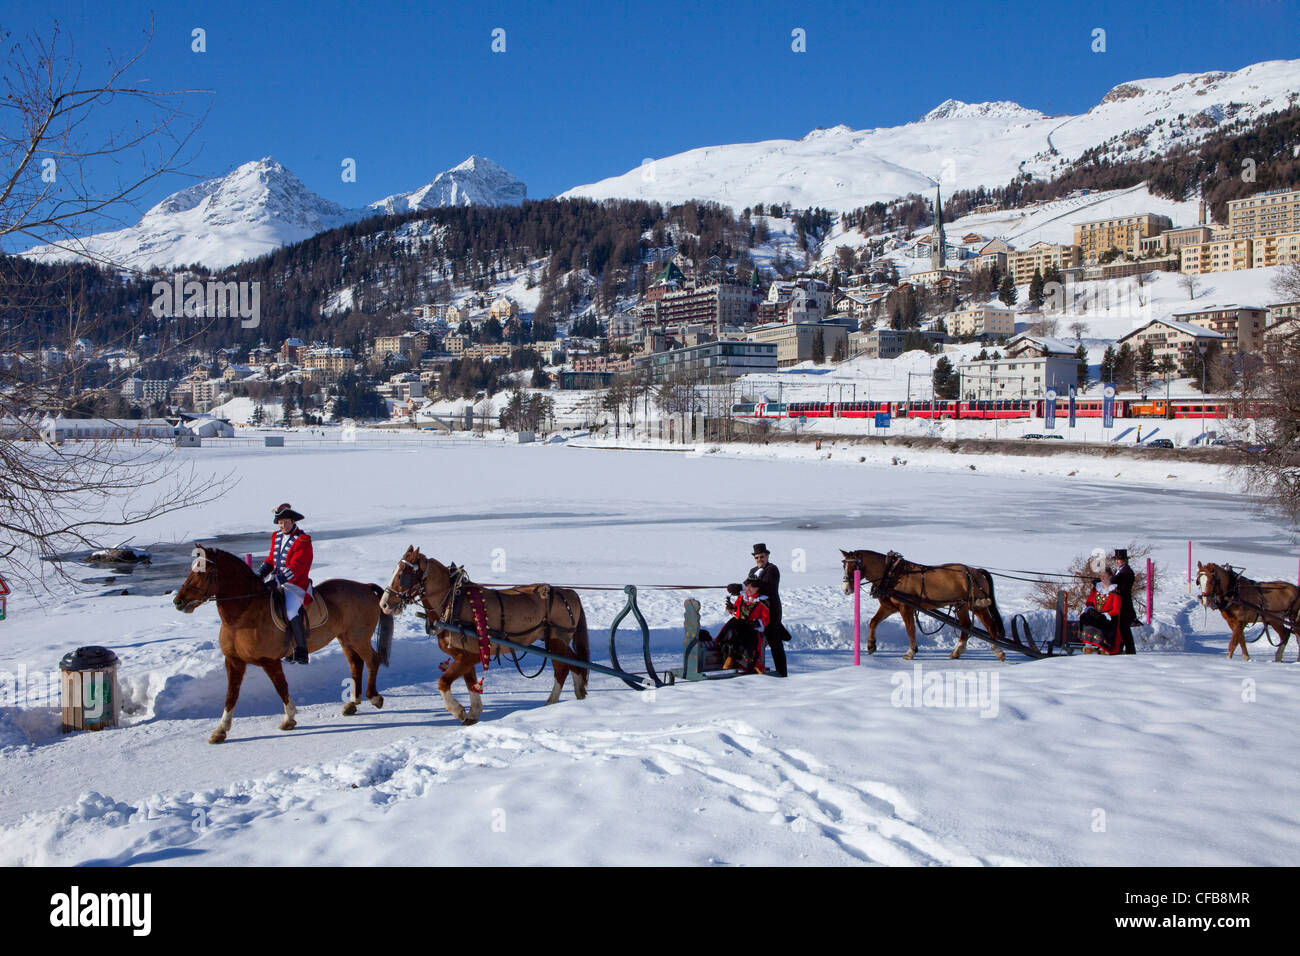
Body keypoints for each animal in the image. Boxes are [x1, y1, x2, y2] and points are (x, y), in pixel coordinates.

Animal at [172, 545, 394, 743]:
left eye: (203, 572)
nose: (178, 602)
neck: (244, 614)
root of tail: (364, 587)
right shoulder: (234, 661)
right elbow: (231, 695)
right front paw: (220, 730)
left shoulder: (269, 661)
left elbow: (281, 687)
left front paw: (289, 718)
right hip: (345, 639)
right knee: (356, 664)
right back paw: (352, 703)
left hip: (358, 638)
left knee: (372, 660)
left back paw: (374, 697)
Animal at [380, 546, 589, 725]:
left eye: (402, 575)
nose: (384, 604)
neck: (453, 603)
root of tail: (568, 592)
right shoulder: (464, 656)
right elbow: (470, 683)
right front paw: (472, 714)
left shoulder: (469, 656)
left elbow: (443, 682)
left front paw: (458, 710)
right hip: (554, 643)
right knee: (573, 664)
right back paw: (576, 696)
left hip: (557, 641)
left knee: (566, 668)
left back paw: (557, 702)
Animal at [840, 548, 1008, 661]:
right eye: (844, 566)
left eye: (855, 567)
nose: (846, 589)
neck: (891, 574)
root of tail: (976, 571)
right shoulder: (889, 607)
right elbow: (873, 622)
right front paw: (871, 645)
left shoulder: (905, 607)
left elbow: (910, 629)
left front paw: (910, 652)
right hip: (962, 605)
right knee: (966, 626)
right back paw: (957, 651)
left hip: (977, 605)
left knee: (990, 625)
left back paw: (997, 650)